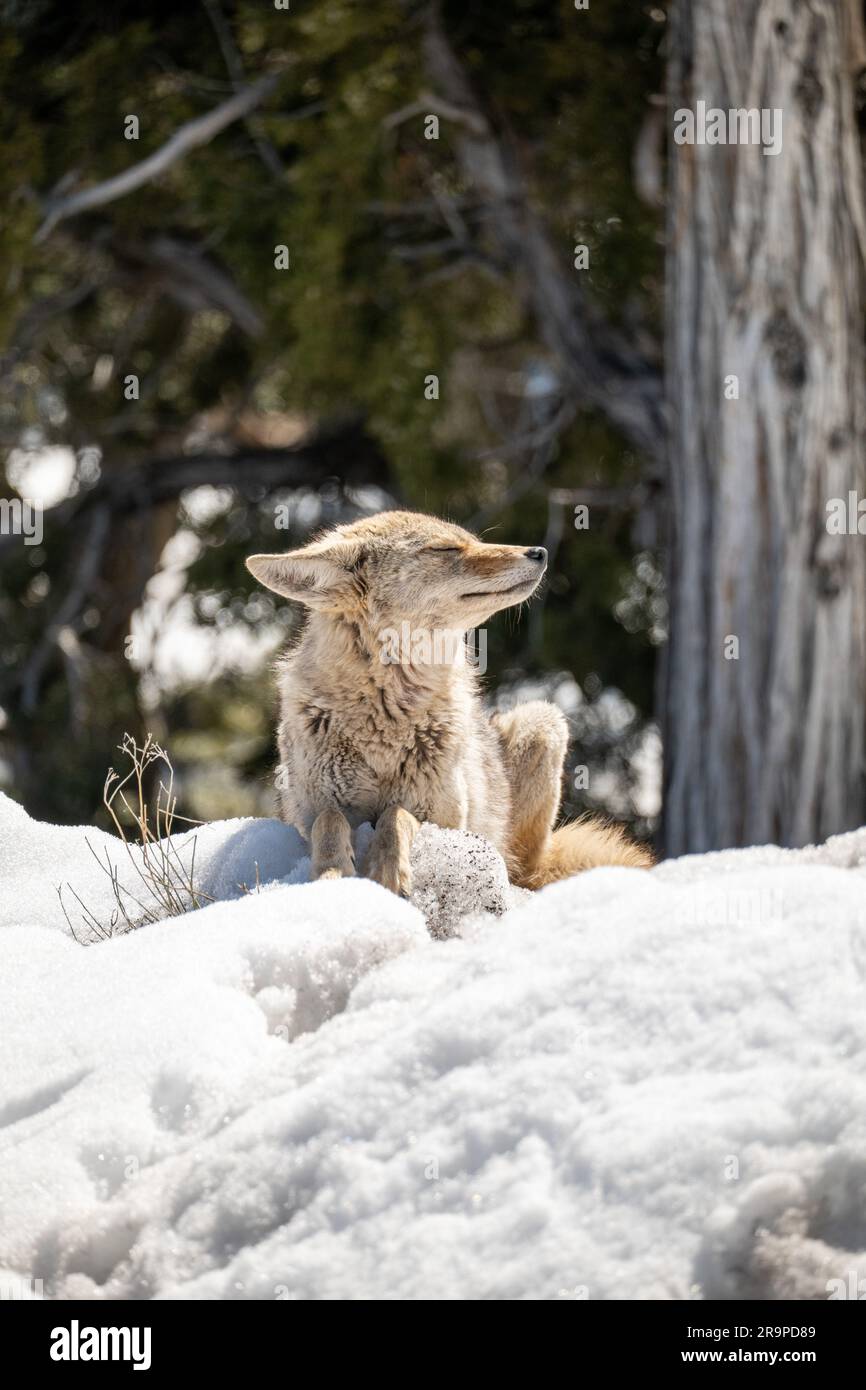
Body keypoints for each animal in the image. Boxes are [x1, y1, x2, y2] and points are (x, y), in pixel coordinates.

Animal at [246, 510, 652, 896]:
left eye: (473, 541)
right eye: (445, 549)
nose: (540, 552)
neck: (385, 717)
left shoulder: (442, 818)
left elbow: (395, 815)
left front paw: (389, 870)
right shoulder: (305, 813)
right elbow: (328, 822)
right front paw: (332, 874)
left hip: (544, 722)